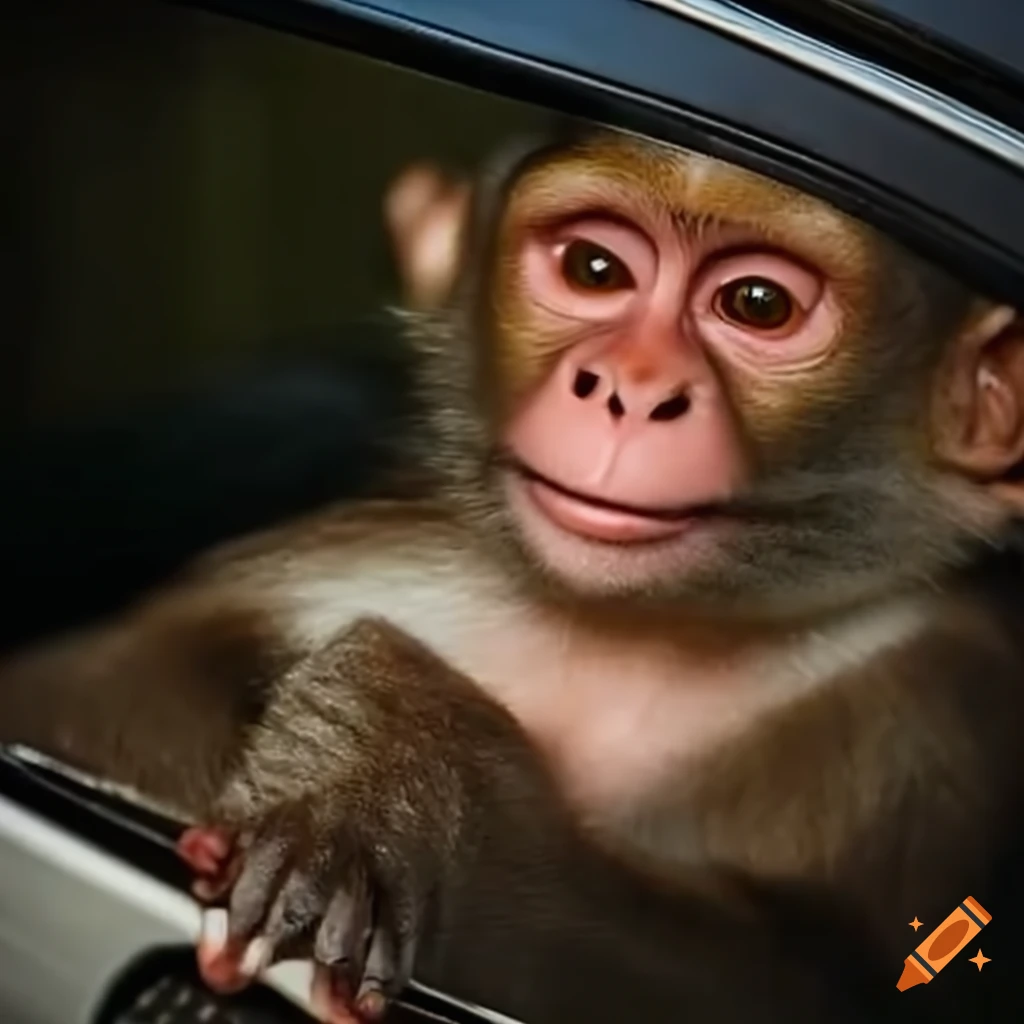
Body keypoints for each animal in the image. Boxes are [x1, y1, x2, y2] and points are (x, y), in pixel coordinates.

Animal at [3, 126, 1024, 1024]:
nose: (629, 389)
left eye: (759, 304)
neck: (627, 628)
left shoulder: (931, 712)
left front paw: (398, 767)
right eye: (595, 270)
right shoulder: (374, 553)